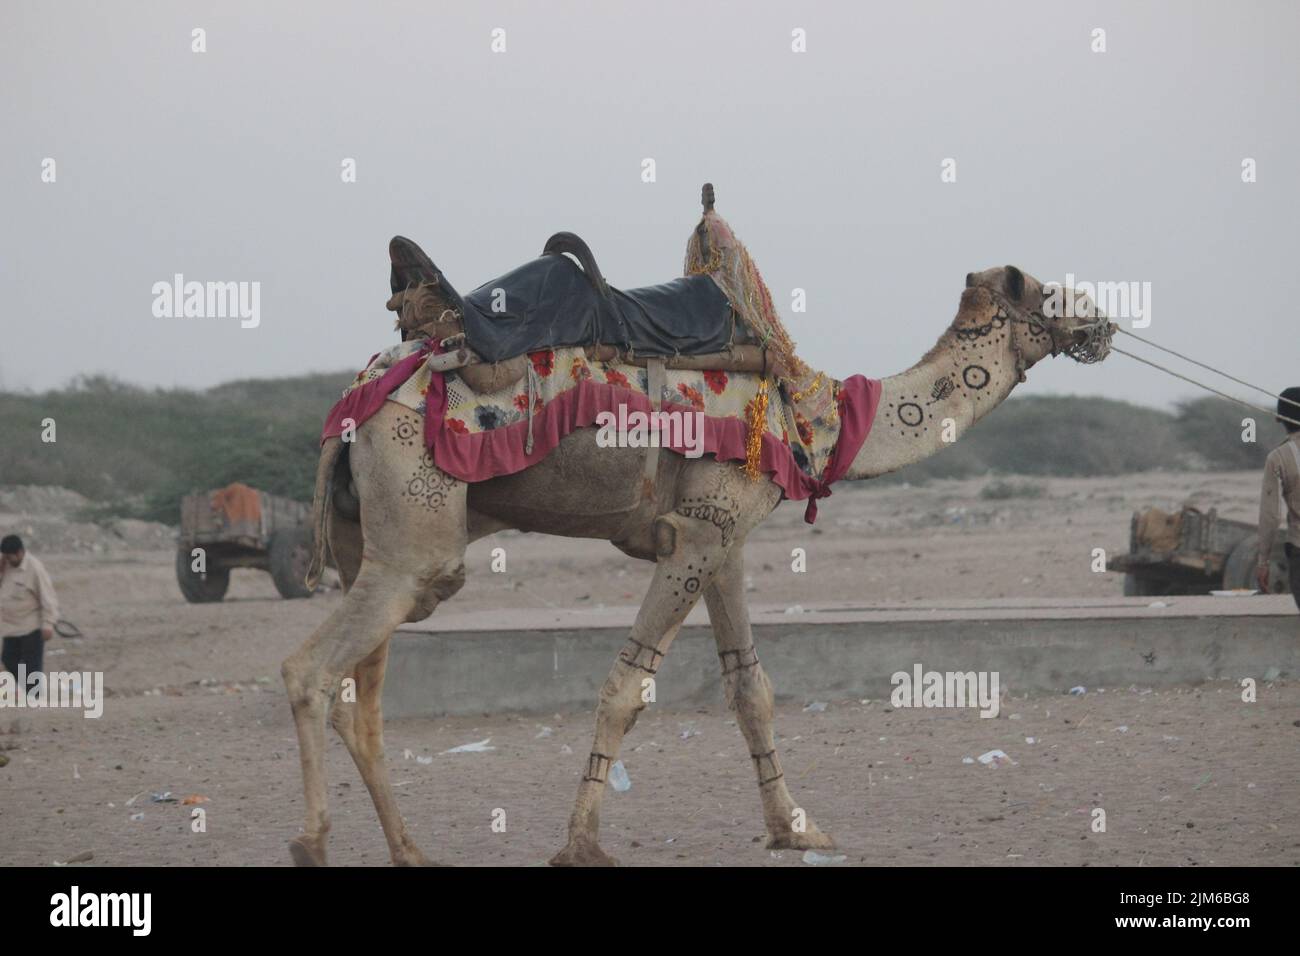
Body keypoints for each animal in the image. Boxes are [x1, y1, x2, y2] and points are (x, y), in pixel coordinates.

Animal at [280, 263, 1110, 867]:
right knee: (310, 670)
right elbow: (627, 687)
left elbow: (751, 689)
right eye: (1056, 294)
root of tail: (359, 395)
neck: (816, 413)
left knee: (362, 700)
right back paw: (311, 843)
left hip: (373, 543)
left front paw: (796, 829)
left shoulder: (726, 536)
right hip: (414, 526)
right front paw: (582, 845)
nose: (1104, 323)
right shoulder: (699, 534)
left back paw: (410, 852)